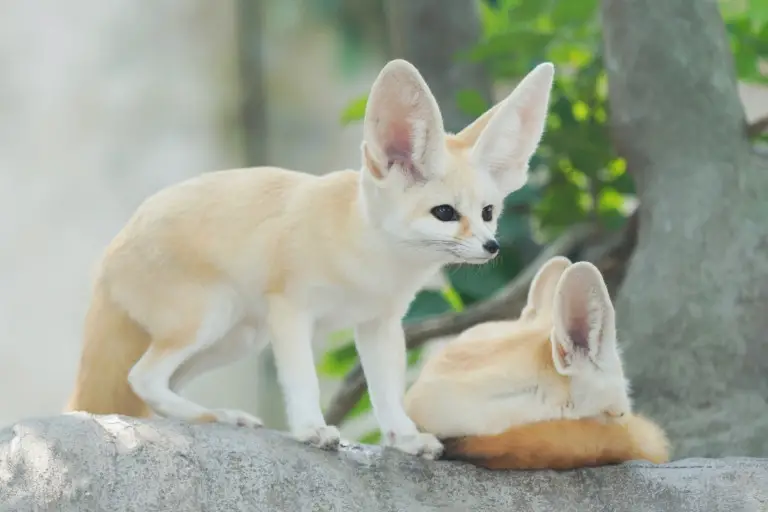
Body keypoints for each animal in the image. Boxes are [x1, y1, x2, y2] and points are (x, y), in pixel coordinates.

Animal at [64, 58, 556, 459]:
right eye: (445, 213)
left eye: (488, 212)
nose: (492, 247)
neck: (373, 264)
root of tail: (109, 253)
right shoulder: (290, 309)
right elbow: (303, 379)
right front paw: (311, 429)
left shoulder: (379, 324)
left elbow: (387, 392)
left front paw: (404, 437)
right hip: (209, 319)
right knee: (141, 377)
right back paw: (216, 416)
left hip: (237, 339)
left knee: (157, 386)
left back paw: (212, 416)